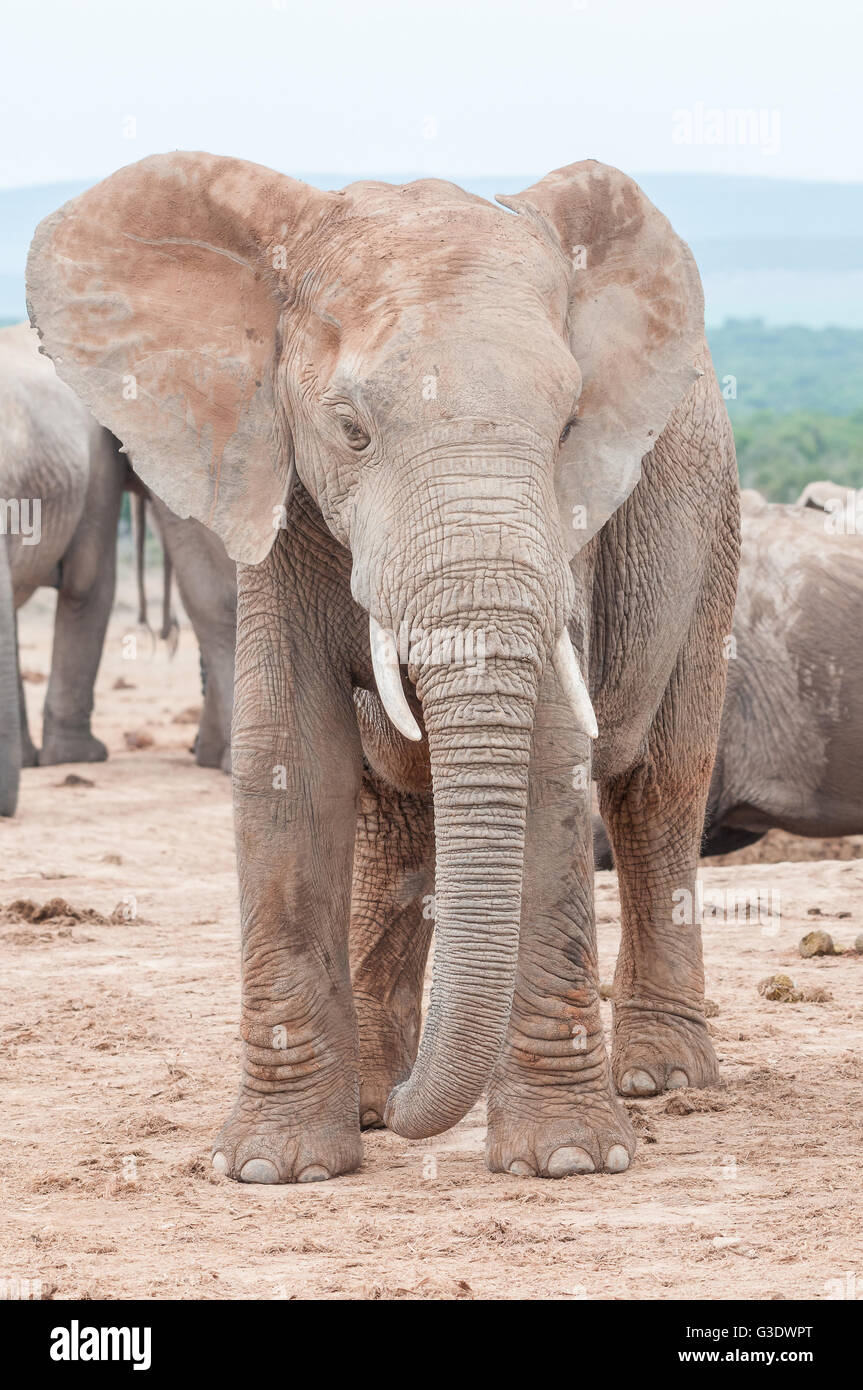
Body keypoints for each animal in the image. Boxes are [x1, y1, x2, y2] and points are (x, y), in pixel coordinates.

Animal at [27, 152, 740, 1182]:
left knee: (659, 790)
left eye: (568, 426)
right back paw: (374, 1096)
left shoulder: (568, 537)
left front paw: (565, 1162)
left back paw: (661, 1081)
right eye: (350, 431)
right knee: (392, 820)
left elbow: (548, 760)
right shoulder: (273, 491)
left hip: (710, 541)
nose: (415, 1116)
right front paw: (275, 1169)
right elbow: (289, 761)